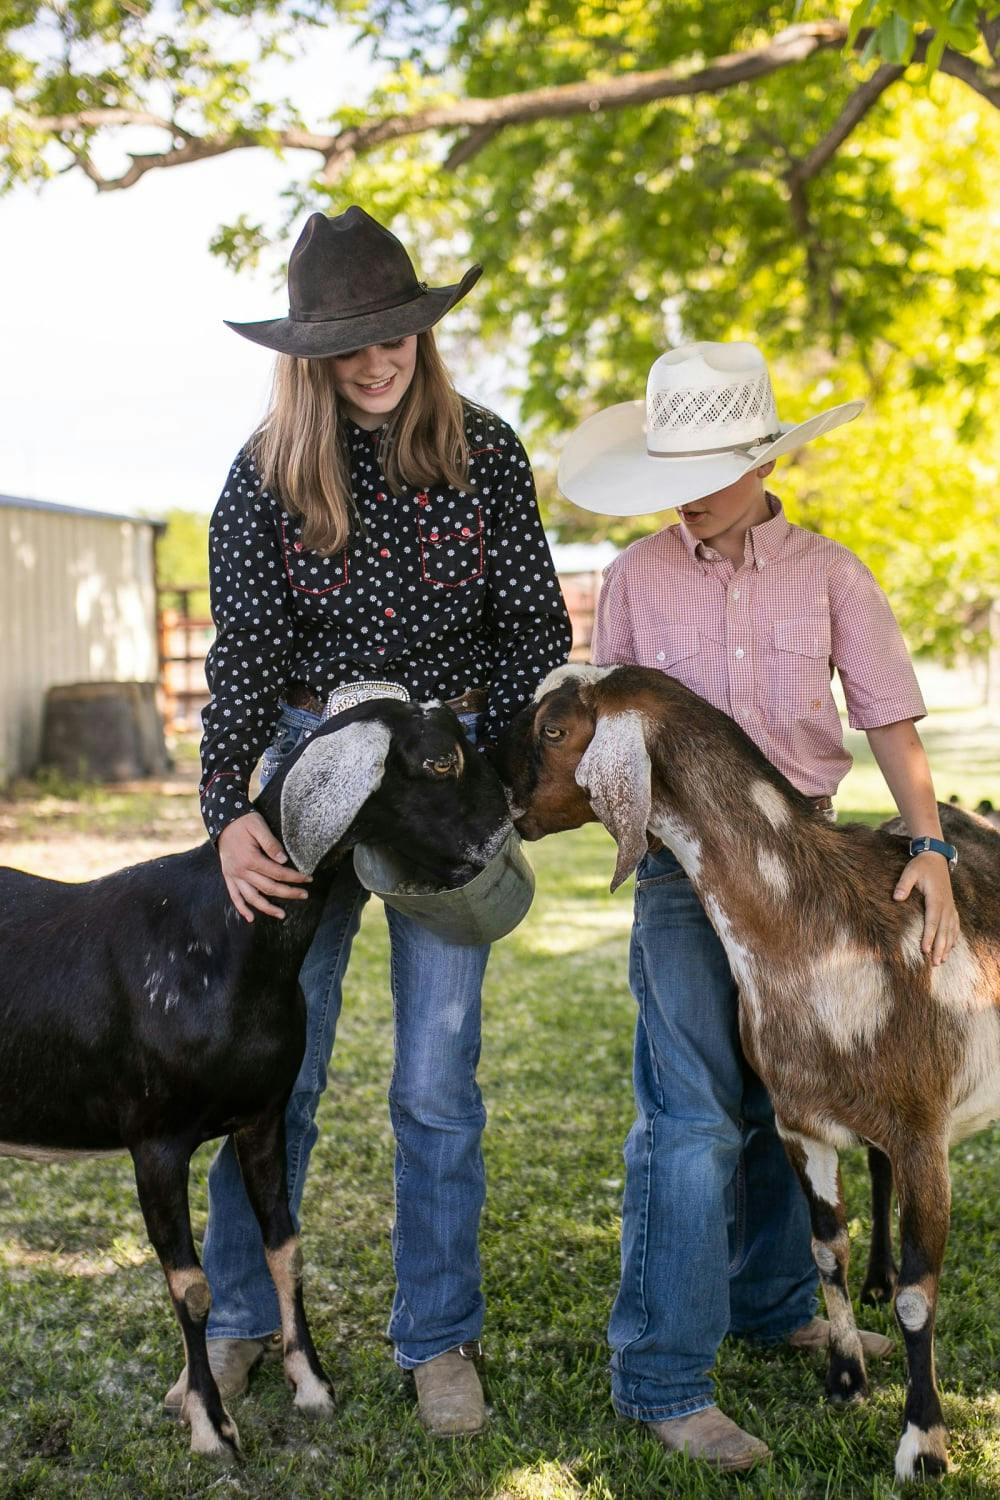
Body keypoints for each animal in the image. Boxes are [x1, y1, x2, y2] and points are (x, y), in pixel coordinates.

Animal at [0, 698, 511, 1461]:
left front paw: (313, 1386)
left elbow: (285, 1250)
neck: (223, 937)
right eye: (438, 760)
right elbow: (191, 1288)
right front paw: (211, 1426)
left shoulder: (263, 1115)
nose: (508, 826)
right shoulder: (154, 1141)